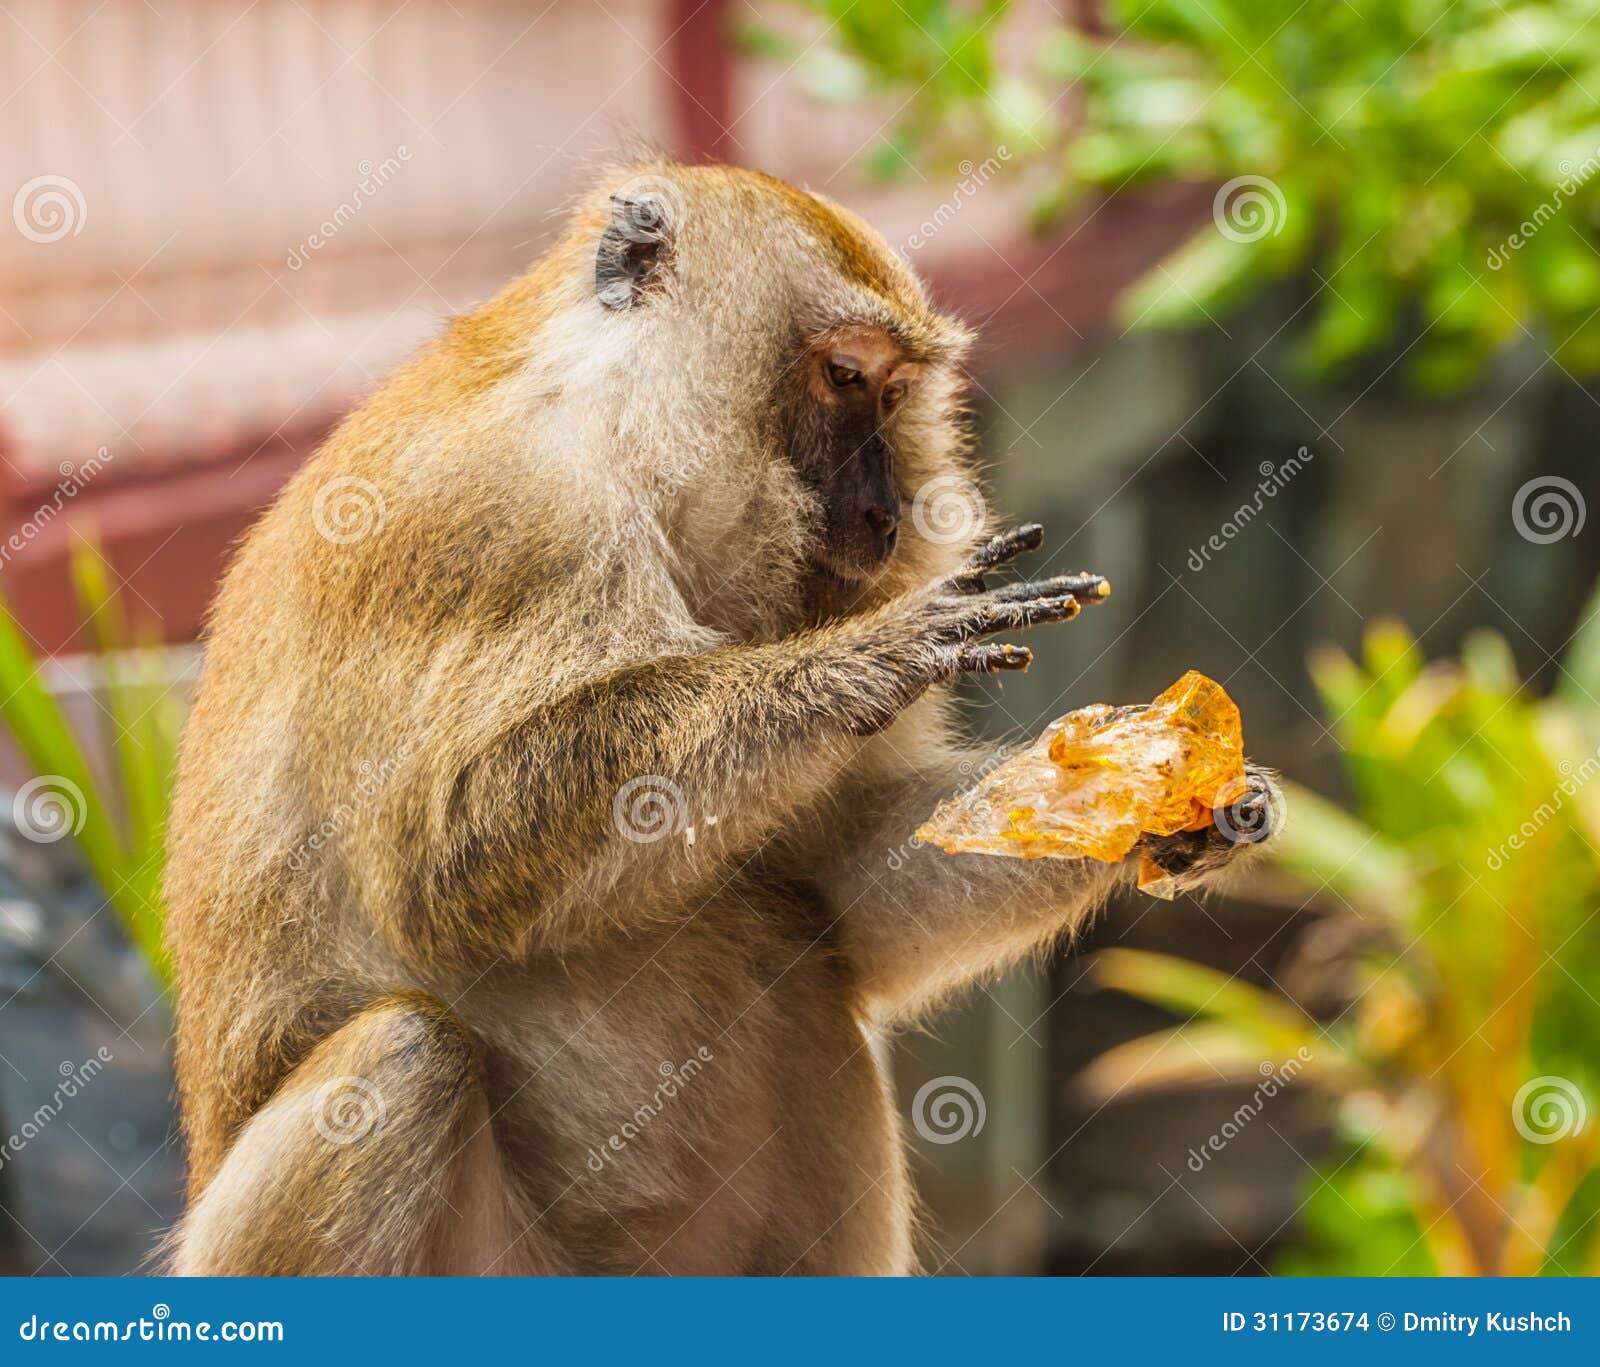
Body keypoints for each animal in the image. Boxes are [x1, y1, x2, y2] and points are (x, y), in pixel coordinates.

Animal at [162, 161, 1279, 1276]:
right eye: (843, 375)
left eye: (892, 393)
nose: (887, 513)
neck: (612, 424)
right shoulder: (496, 522)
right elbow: (440, 861)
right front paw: (874, 654)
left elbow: (840, 879)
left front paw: (1171, 801)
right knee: (404, 1059)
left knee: (791, 942)